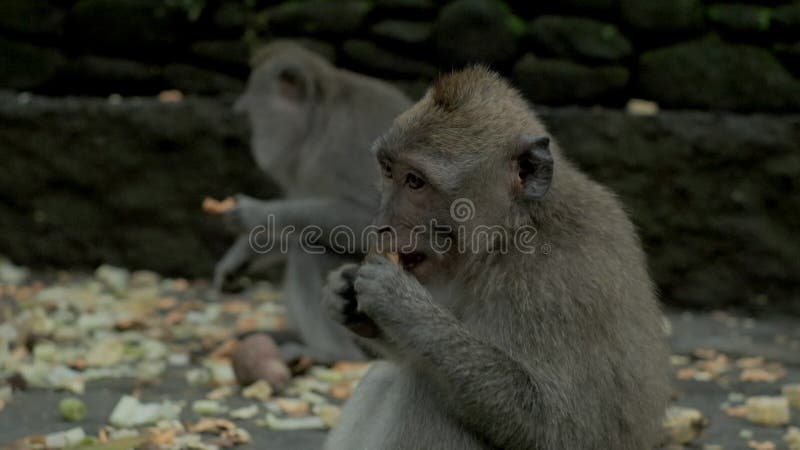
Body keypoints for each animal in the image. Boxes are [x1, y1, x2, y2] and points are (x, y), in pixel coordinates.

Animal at [215, 40, 412, 363]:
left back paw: (331, 354)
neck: (317, 123)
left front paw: (254, 213)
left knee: (308, 253)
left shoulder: (347, 144)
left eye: (252, 116)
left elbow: (374, 221)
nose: (253, 141)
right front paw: (240, 255)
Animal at [321, 67, 670, 450]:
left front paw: (401, 304)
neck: (509, 236)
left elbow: (558, 426)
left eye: (415, 181)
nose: (381, 225)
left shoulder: (557, 284)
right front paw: (343, 293)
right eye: (388, 171)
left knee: (424, 388)